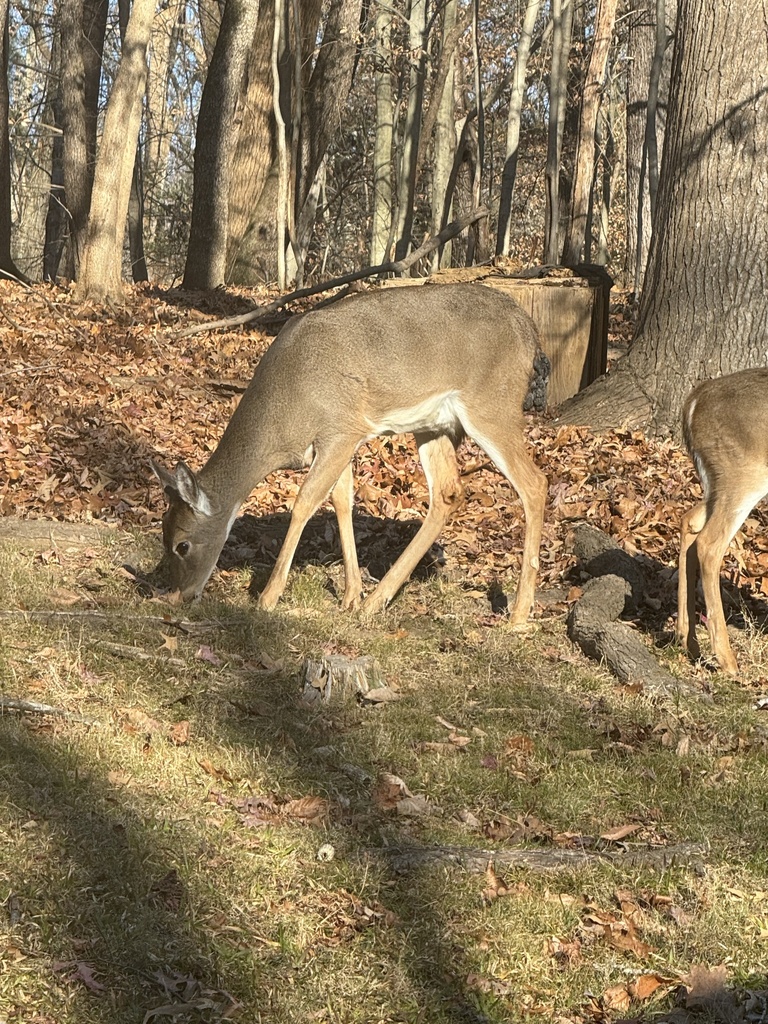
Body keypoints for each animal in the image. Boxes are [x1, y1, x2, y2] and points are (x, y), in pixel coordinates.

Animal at [153, 283, 548, 623]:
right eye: (163, 535)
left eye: (182, 545)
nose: (178, 595)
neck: (285, 415)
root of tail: (529, 329)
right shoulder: (337, 438)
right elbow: (342, 501)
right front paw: (350, 595)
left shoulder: (342, 428)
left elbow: (305, 502)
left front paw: (268, 596)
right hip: (434, 423)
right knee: (448, 492)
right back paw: (376, 600)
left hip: (491, 404)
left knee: (535, 483)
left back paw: (518, 615)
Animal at [676, 368, 768, 676]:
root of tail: (693, 402)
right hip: (745, 472)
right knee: (709, 544)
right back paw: (726, 659)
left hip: (718, 479)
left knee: (690, 521)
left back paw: (687, 639)